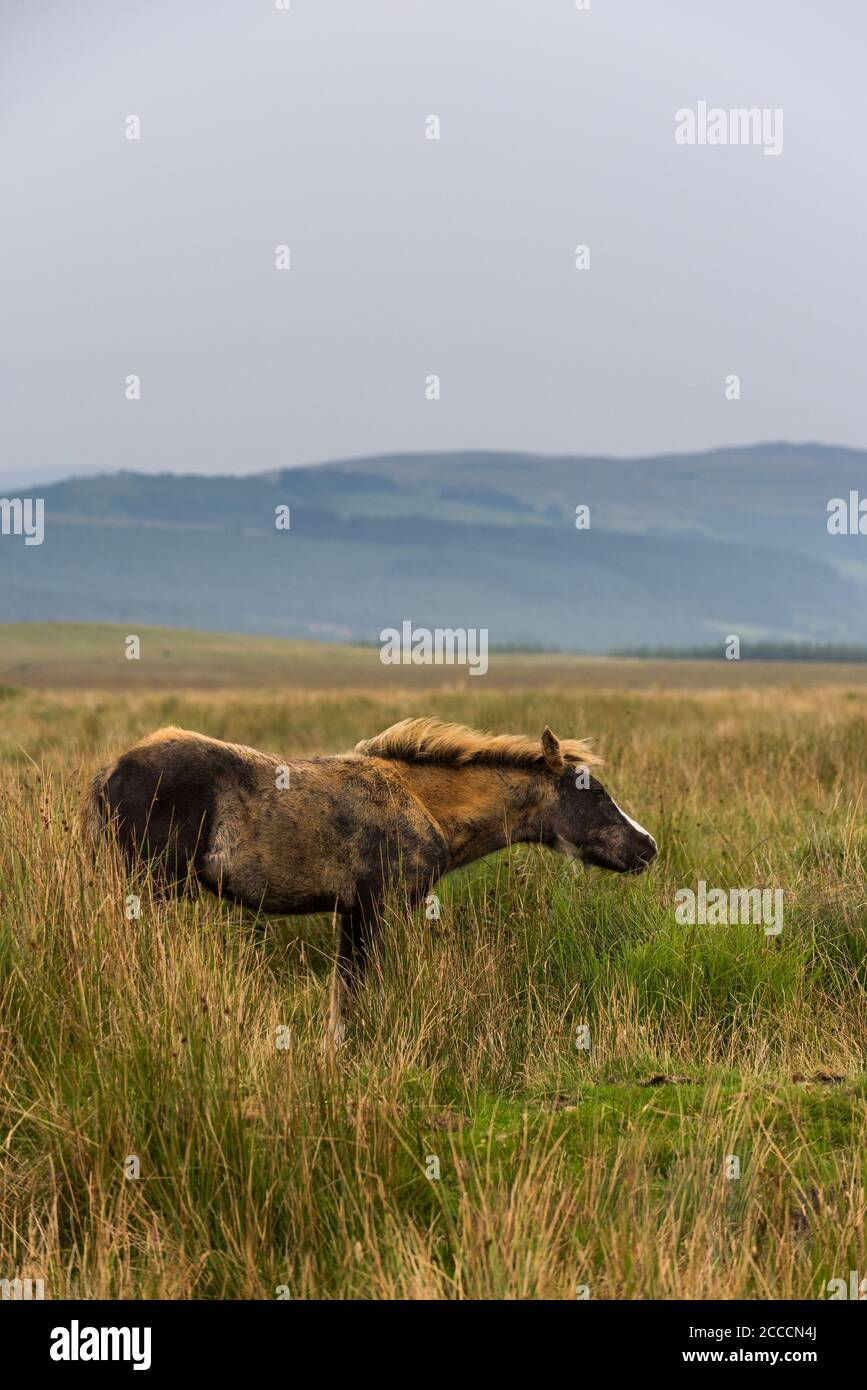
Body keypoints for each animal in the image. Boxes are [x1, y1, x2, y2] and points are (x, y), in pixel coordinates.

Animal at [82, 717, 657, 1044]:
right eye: (595, 791)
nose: (647, 847)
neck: (423, 802)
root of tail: (111, 771)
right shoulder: (374, 908)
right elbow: (357, 989)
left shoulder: (352, 914)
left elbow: (347, 990)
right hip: (154, 887)